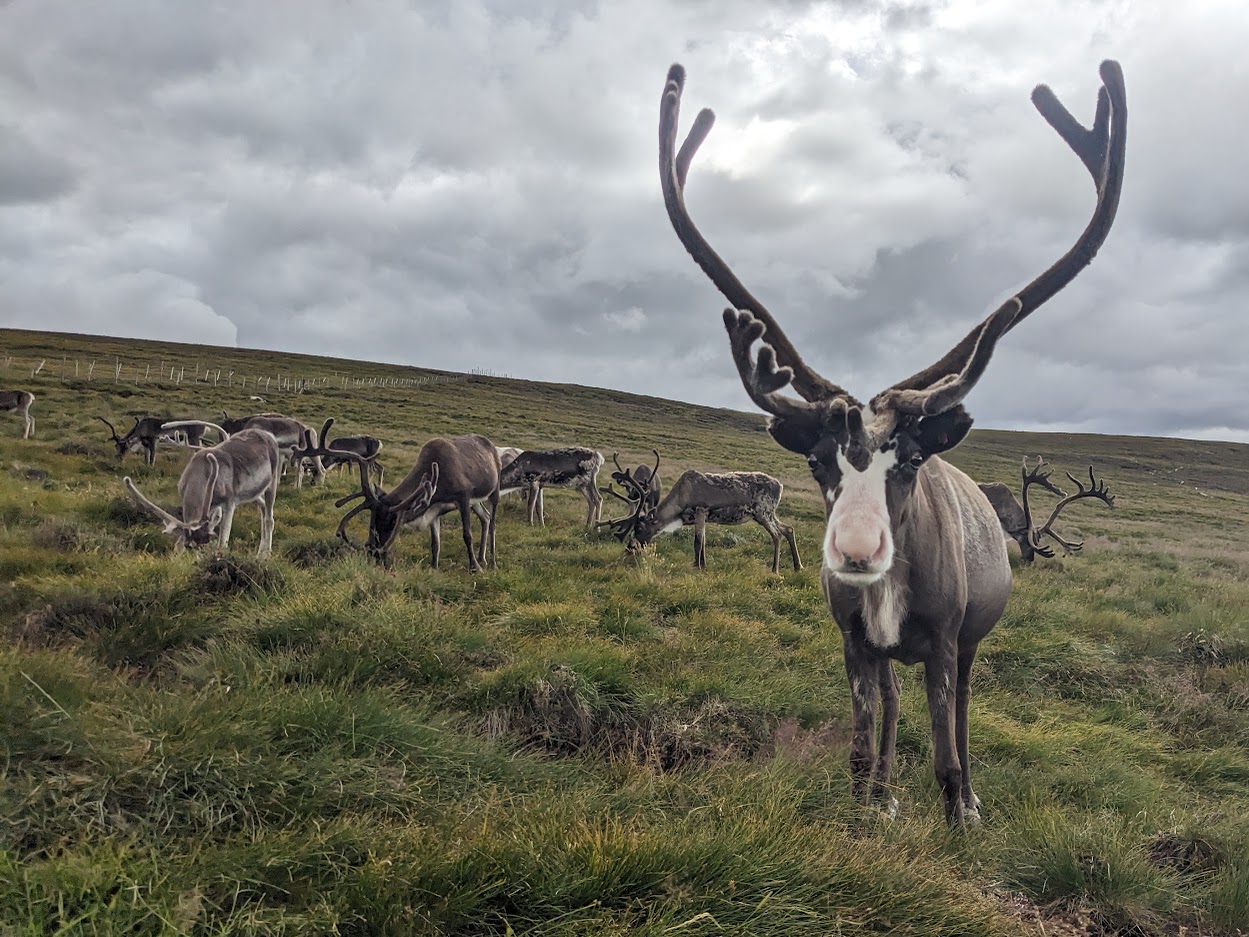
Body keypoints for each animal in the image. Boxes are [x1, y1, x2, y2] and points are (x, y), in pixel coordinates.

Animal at [122, 422, 281, 557]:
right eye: (189, 547)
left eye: (205, 543)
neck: (199, 473)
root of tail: (268, 435)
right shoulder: (210, 507)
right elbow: (178, 544)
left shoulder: (229, 501)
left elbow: (223, 541)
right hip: (253, 494)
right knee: (263, 509)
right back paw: (261, 553)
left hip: (272, 482)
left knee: (269, 518)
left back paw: (265, 556)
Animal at [296, 419, 500, 572]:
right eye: (373, 521)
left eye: (392, 522)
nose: (375, 553)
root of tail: (490, 443)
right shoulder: (434, 507)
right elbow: (435, 542)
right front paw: (434, 567)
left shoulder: (463, 497)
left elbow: (467, 534)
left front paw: (474, 568)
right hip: (476, 502)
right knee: (485, 517)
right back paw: (482, 558)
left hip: (494, 489)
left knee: (492, 521)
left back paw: (491, 559)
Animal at [602, 467, 802, 573]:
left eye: (640, 527)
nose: (629, 549)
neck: (680, 501)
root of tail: (780, 486)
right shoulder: (704, 516)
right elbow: (704, 541)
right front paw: (703, 565)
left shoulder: (700, 509)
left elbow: (697, 542)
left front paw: (696, 567)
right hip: (768, 514)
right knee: (788, 529)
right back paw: (797, 566)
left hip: (762, 512)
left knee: (777, 535)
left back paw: (775, 569)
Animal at [656, 58, 1127, 825]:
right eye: (817, 460)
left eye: (908, 460)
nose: (854, 552)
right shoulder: (854, 641)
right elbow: (857, 740)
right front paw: (867, 803)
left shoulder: (944, 640)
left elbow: (945, 756)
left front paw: (960, 811)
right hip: (888, 656)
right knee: (892, 702)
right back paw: (883, 789)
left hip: (972, 639)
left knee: (960, 714)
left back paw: (968, 794)